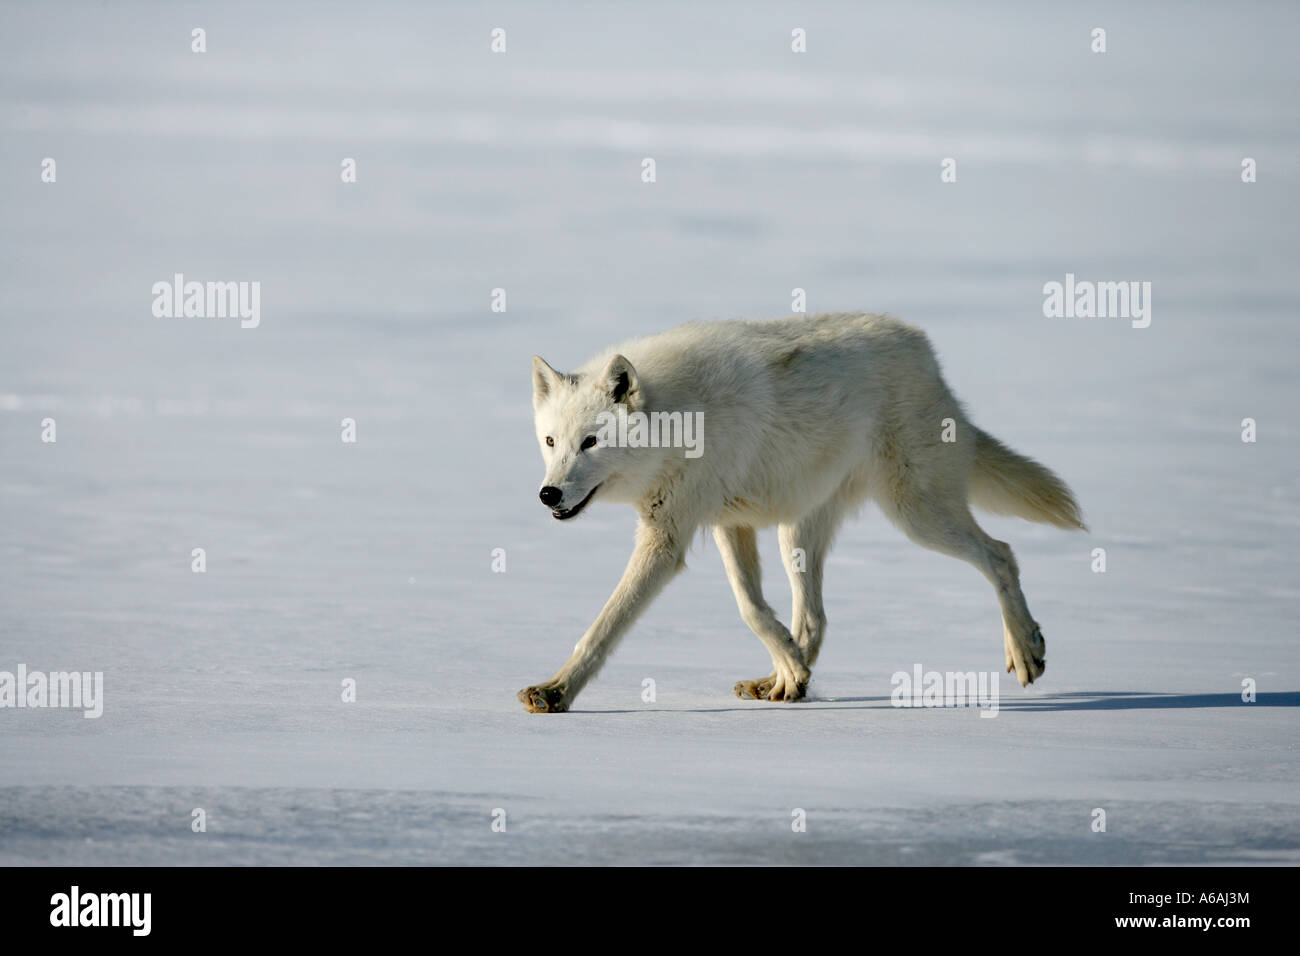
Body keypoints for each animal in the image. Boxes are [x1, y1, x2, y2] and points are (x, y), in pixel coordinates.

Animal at [520, 312, 1085, 713]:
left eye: (591, 442)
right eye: (550, 442)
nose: (548, 494)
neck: (677, 422)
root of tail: (926, 352)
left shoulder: (669, 538)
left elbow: (605, 624)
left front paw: (556, 691)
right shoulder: (728, 523)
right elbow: (752, 608)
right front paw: (788, 666)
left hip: (917, 516)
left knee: (1000, 554)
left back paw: (1026, 649)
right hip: (797, 529)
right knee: (814, 617)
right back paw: (780, 682)